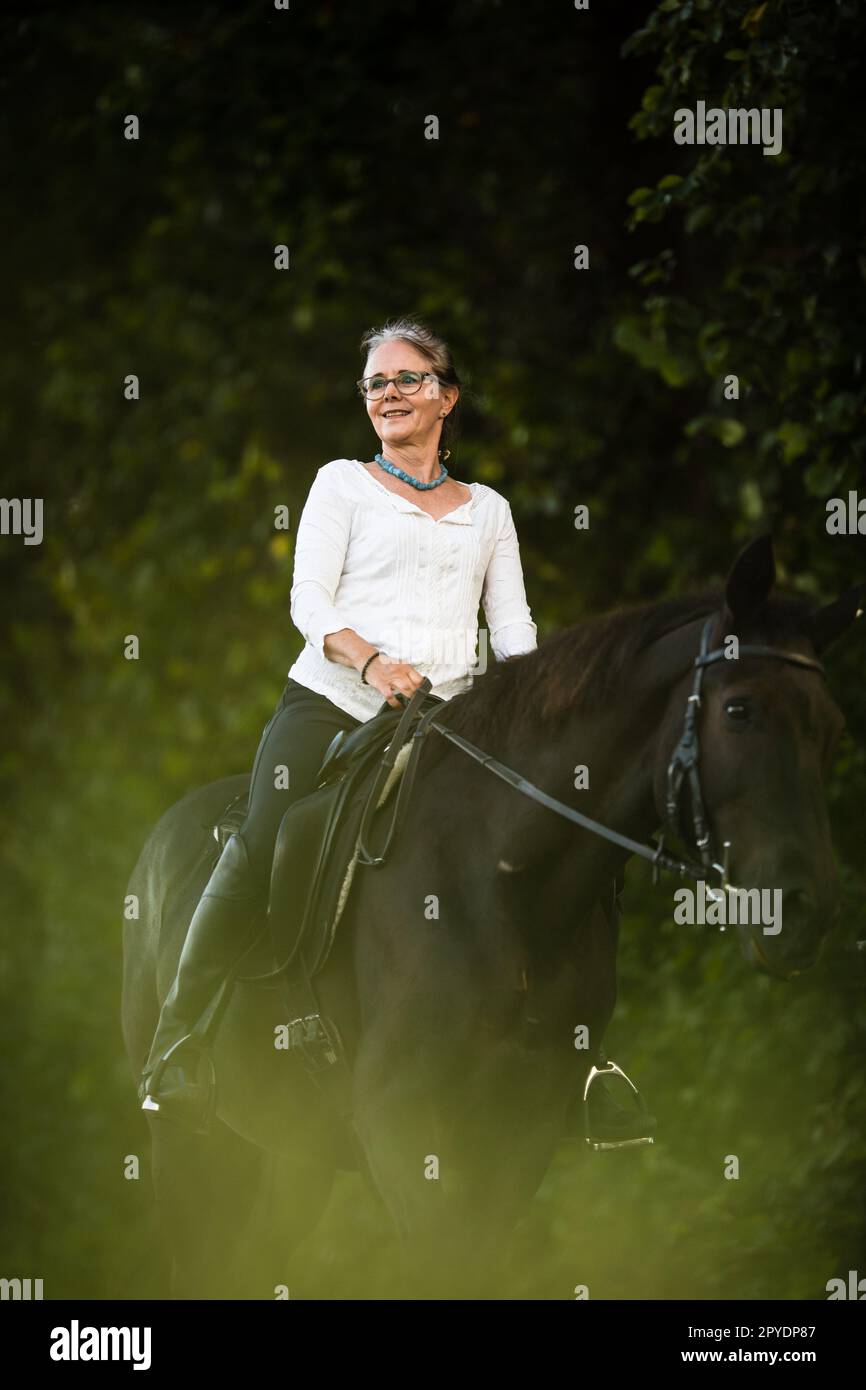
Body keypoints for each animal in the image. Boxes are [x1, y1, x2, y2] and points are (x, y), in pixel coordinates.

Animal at [122, 535, 861, 1298]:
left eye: (834, 729)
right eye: (740, 711)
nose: (805, 910)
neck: (501, 888)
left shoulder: (519, 1134)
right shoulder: (400, 1125)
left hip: (292, 1148)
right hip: (189, 1147)